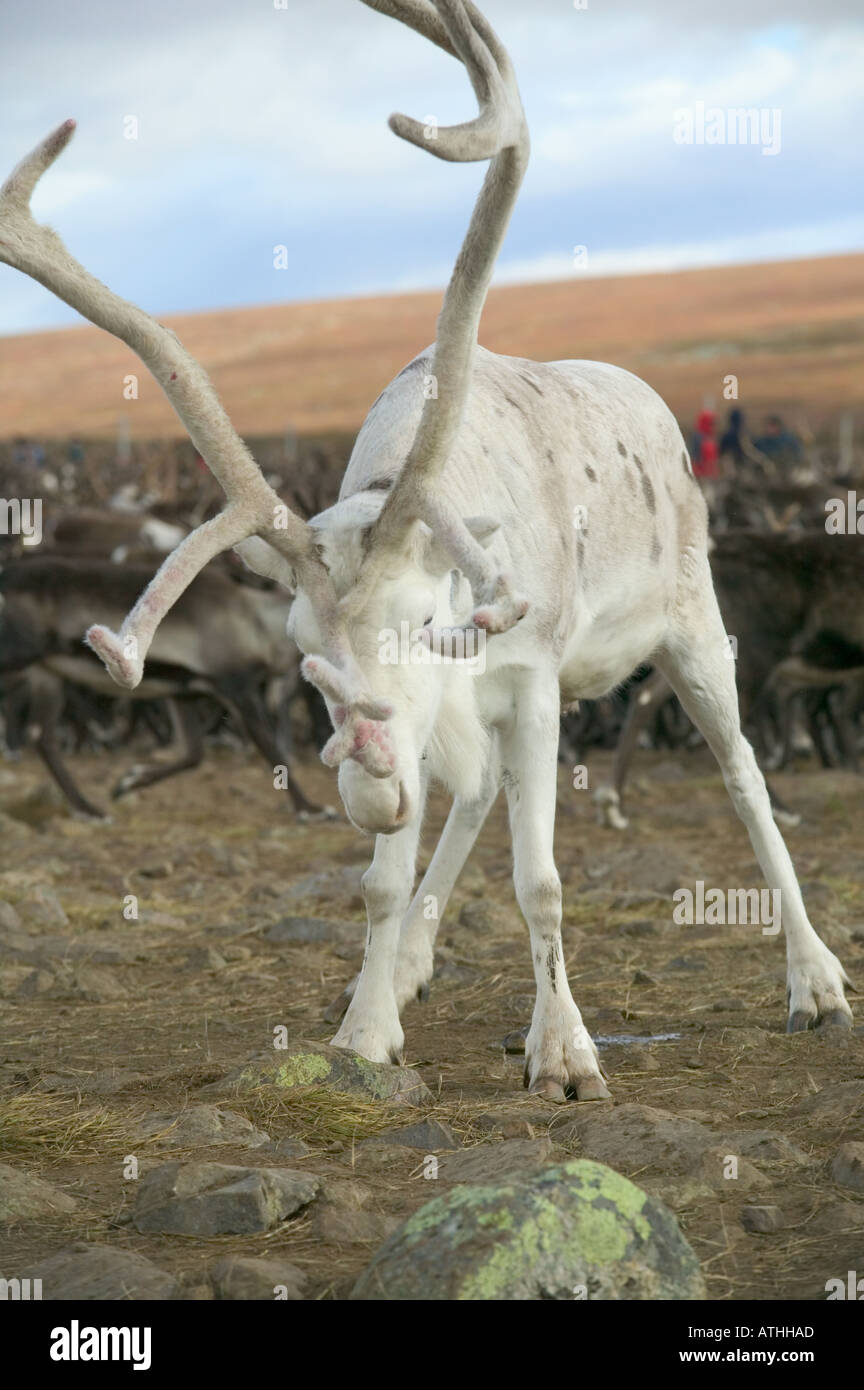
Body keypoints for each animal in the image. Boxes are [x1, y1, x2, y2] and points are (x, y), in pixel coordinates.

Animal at [0, 0, 852, 1102]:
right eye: (300, 640)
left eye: (424, 615)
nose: (368, 783)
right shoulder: (419, 718)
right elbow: (380, 878)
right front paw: (367, 1026)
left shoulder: (531, 679)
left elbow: (542, 879)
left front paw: (564, 1054)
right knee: (478, 792)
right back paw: (411, 963)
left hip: (695, 623)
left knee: (744, 777)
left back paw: (815, 980)